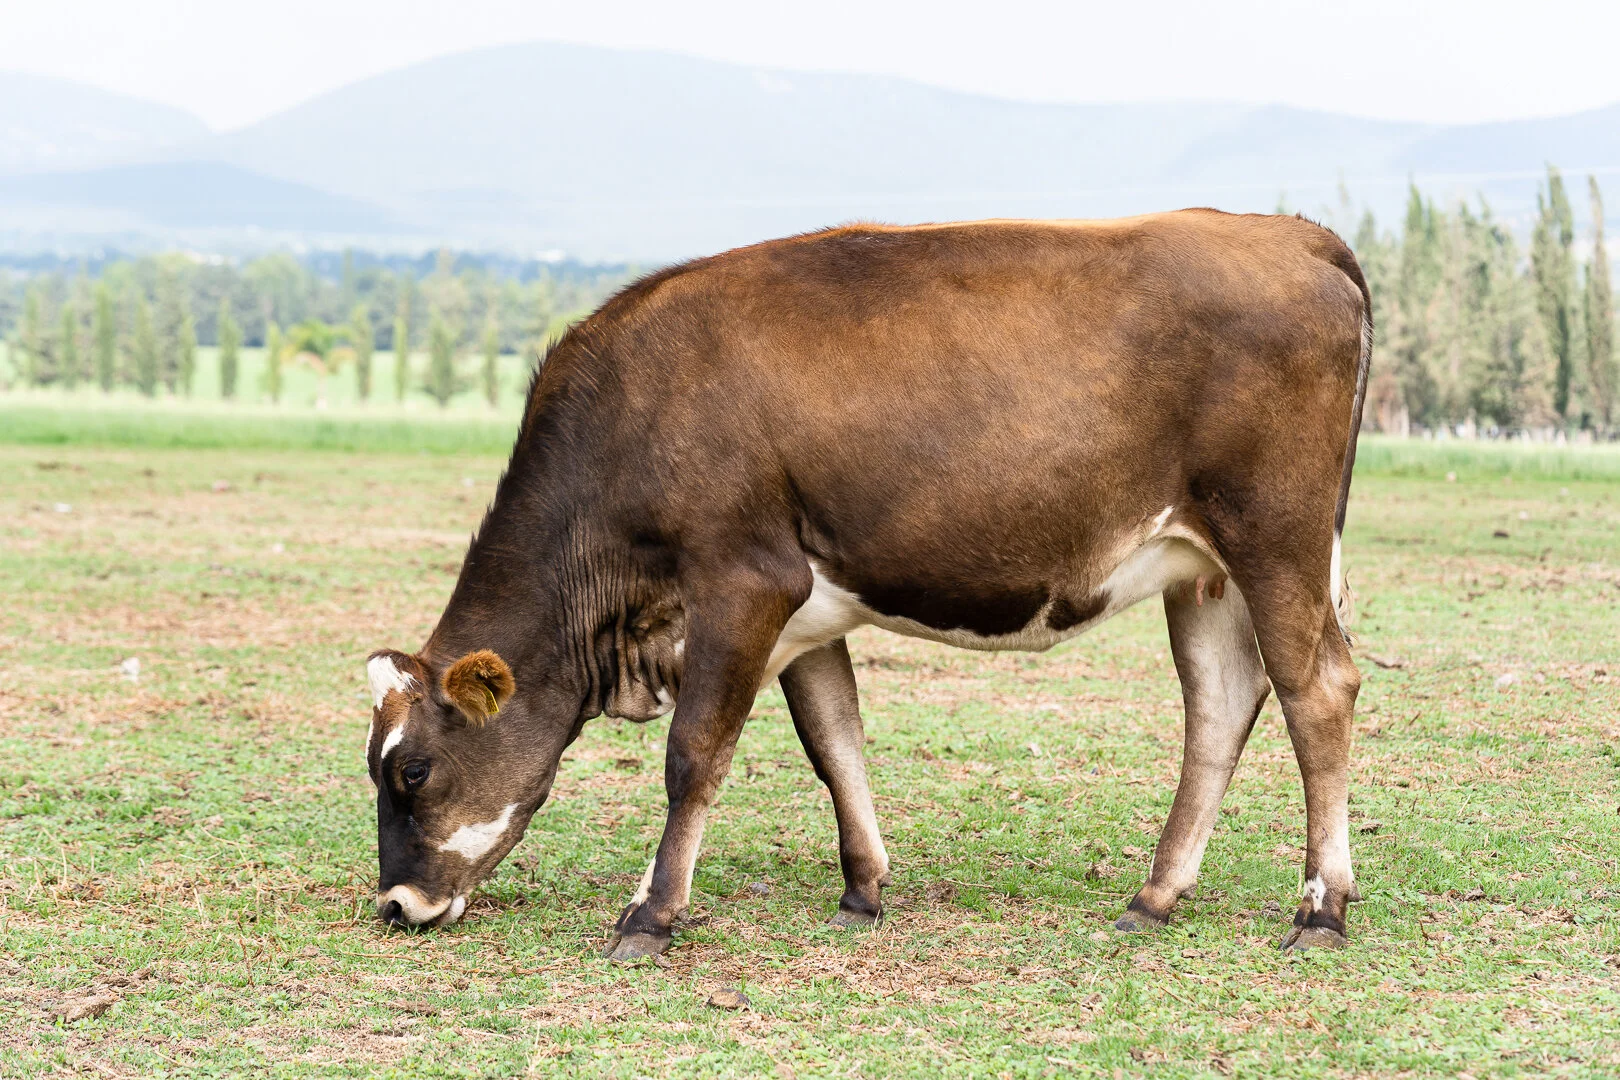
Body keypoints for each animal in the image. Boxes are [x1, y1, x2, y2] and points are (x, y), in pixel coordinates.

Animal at [364, 209, 1371, 959]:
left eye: (413, 769)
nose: (396, 904)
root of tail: (1286, 232)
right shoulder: (809, 605)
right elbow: (833, 740)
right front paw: (862, 888)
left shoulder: (743, 580)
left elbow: (695, 753)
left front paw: (651, 914)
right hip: (1203, 571)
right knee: (1222, 704)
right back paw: (1154, 896)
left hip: (1276, 537)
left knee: (1317, 690)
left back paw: (1320, 908)